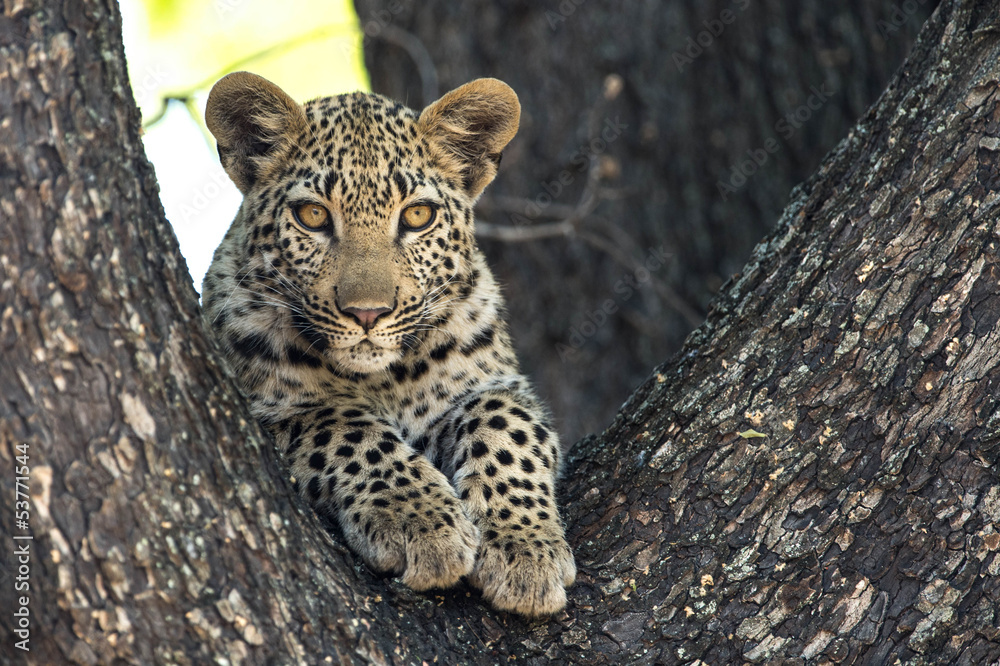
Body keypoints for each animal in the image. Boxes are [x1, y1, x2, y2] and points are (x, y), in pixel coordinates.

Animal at [200, 71, 576, 617]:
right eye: (312, 215)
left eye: (417, 216)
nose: (367, 313)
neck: (383, 379)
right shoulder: (262, 410)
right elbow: (343, 426)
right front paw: (418, 520)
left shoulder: (497, 382)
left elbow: (506, 424)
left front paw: (525, 548)